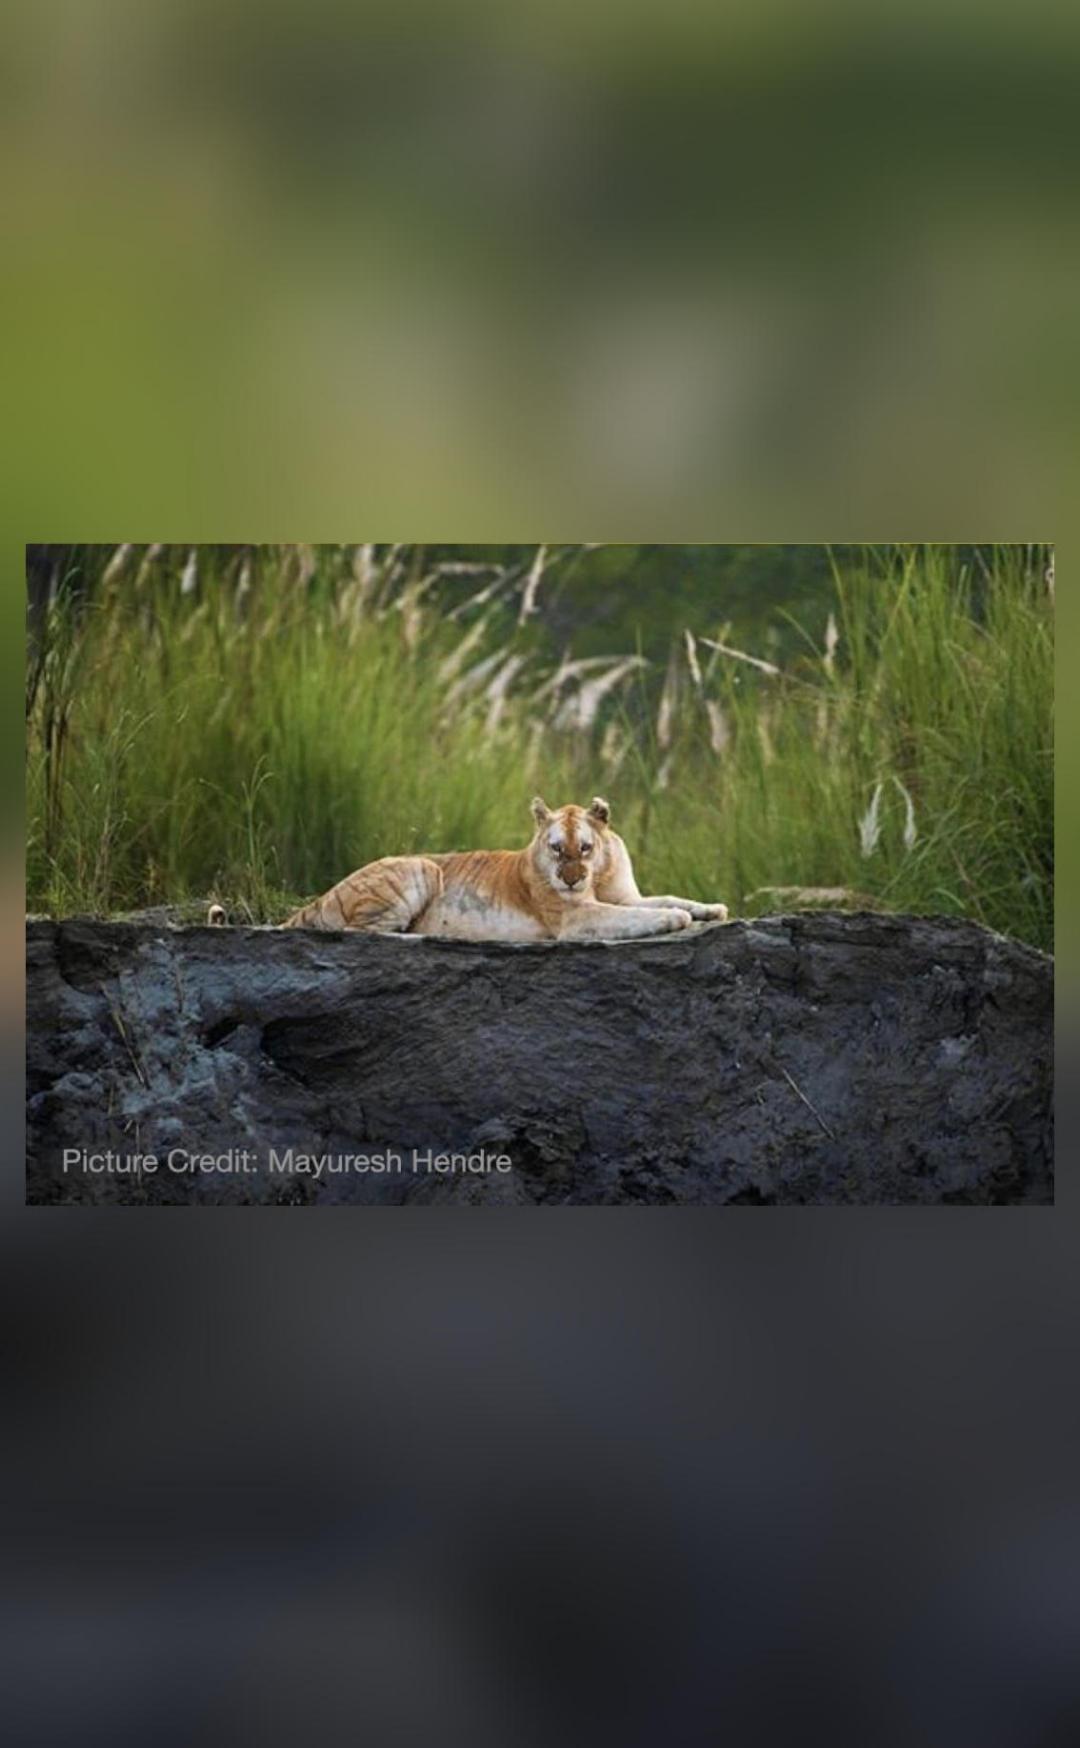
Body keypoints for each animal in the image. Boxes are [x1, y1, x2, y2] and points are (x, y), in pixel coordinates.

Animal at [257, 796, 728, 942]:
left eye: (585, 848)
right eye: (557, 850)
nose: (571, 879)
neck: (600, 875)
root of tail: (321, 897)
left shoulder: (626, 894)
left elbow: (665, 897)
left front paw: (712, 909)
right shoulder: (574, 918)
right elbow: (635, 916)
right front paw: (675, 918)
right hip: (419, 868)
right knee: (365, 933)